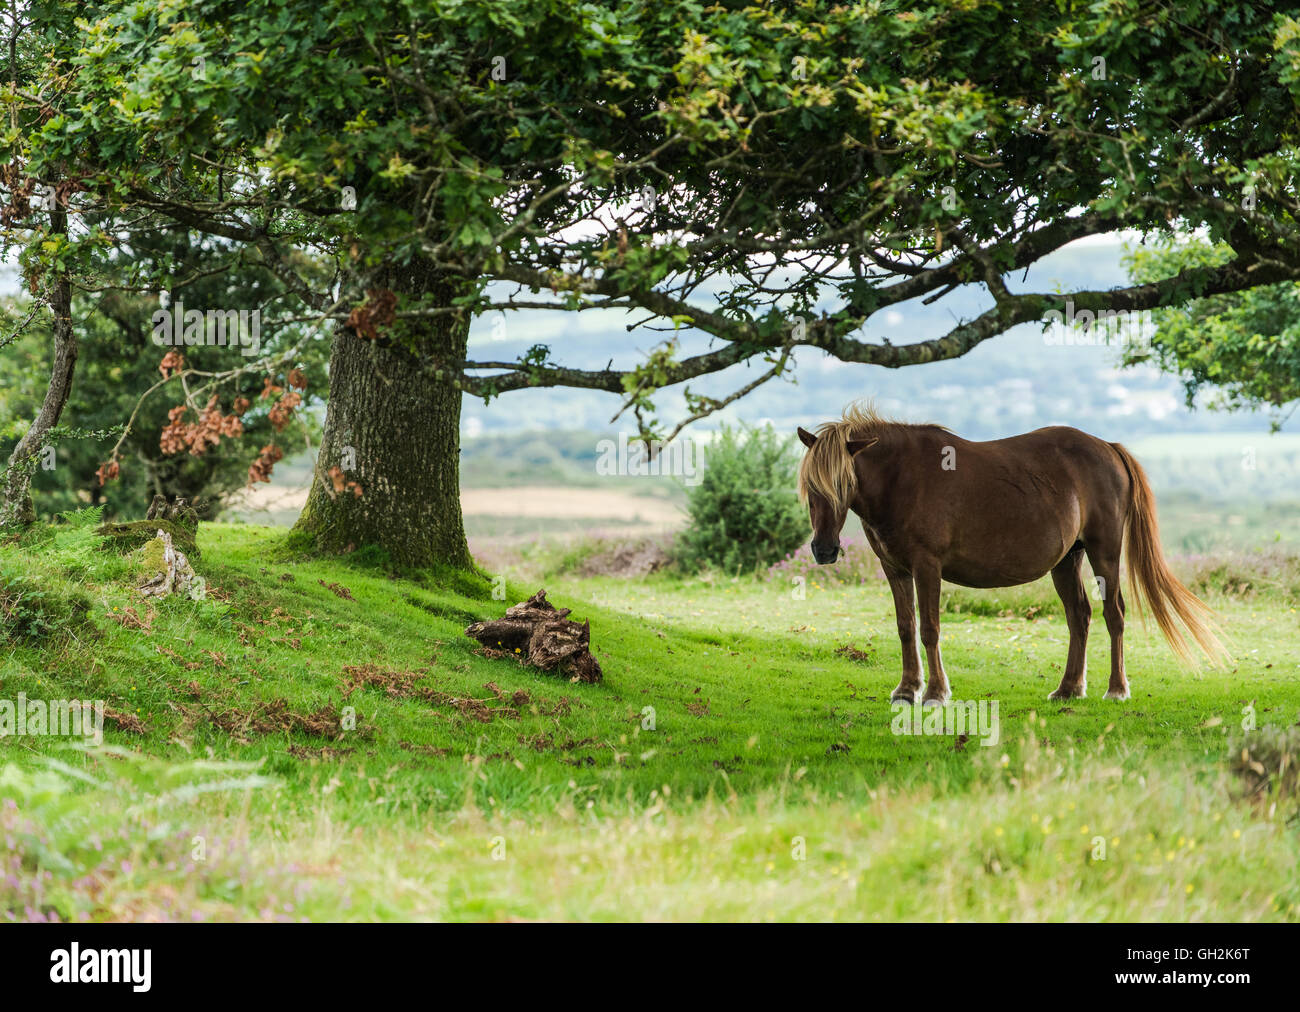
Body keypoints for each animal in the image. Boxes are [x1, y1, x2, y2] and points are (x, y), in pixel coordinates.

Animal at [796, 404, 1223, 704]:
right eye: (811, 487)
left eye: (843, 484)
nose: (824, 550)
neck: (903, 478)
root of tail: (1108, 448)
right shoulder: (895, 569)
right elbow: (905, 627)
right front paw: (906, 690)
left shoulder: (926, 566)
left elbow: (930, 629)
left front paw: (934, 693)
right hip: (1067, 560)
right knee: (1079, 616)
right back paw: (1068, 688)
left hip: (1104, 553)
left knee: (1113, 614)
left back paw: (1116, 688)